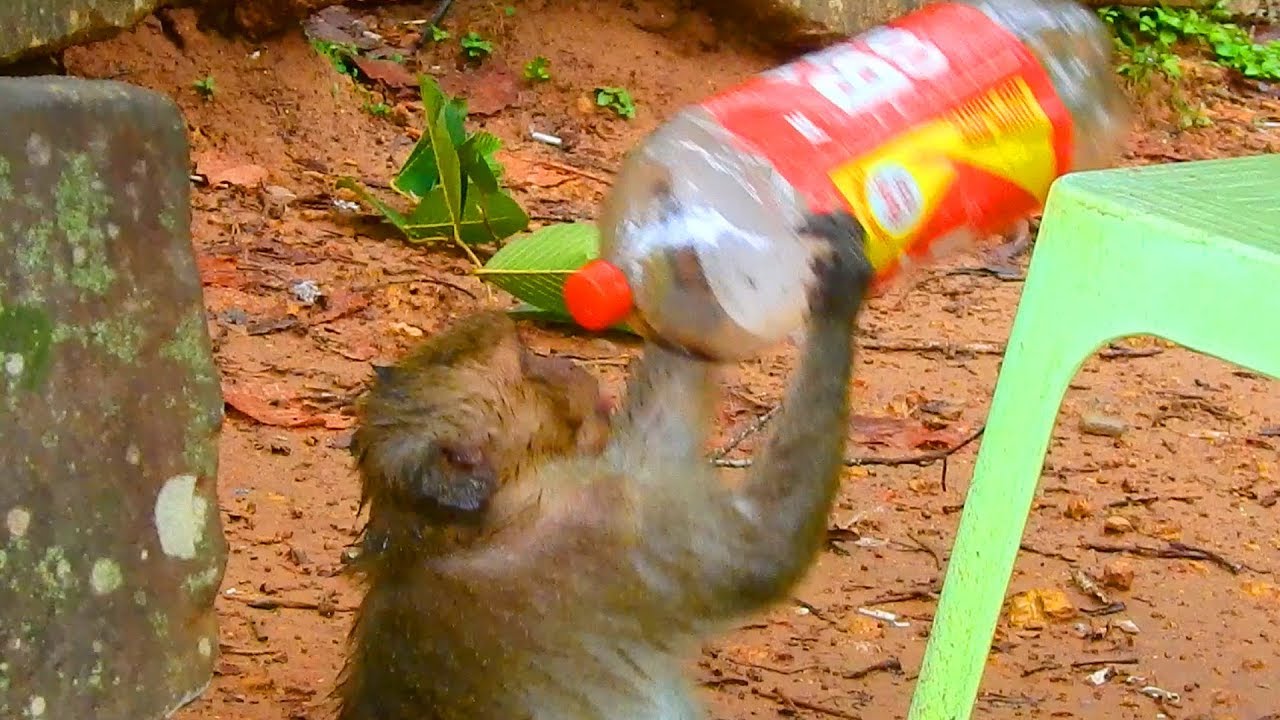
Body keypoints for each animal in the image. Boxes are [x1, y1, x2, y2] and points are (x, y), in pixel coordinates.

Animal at [335, 209, 873, 720]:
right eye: (528, 365)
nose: (568, 366)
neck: (453, 531)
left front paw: (684, 256)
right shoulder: (597, 529)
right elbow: (765, 550)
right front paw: (836, 288)